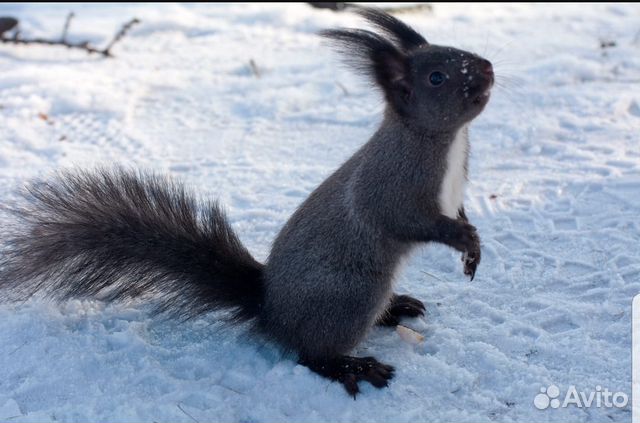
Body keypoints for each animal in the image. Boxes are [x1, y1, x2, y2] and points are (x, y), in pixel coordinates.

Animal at [0, 8, 493, 397]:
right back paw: (353, 366)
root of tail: (271, 309)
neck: (443, 140)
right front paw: (462, 239)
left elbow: (458, 213)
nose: (488, 68)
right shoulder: (392, 186)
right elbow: (411, 221)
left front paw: (474, 247)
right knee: (310, 353)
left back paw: (397, 308)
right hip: (352, 295)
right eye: (436, 77)